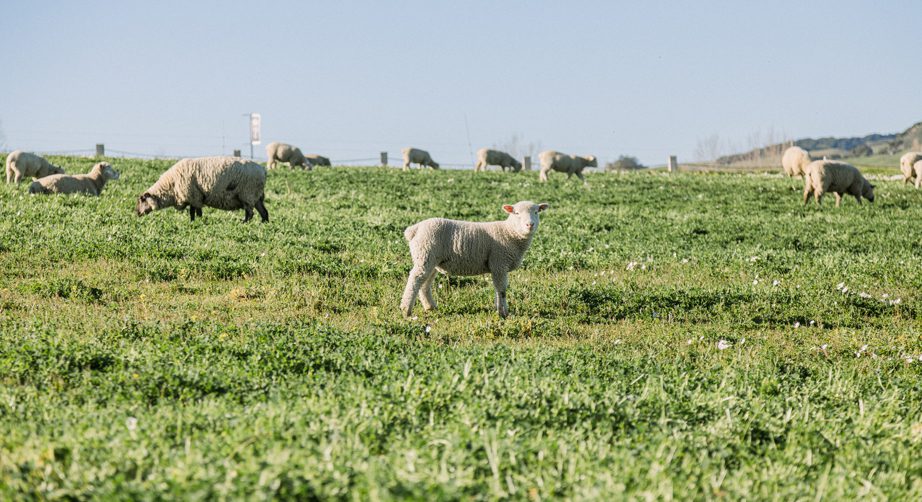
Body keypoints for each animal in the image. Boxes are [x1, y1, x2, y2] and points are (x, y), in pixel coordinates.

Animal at [136, 156, 268, 223]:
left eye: (142, 200)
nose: (137, 213)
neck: (171, 186)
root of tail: (263, 170)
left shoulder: (194, 195)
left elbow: (194, 212)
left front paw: (195, 223)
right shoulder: (195, 197)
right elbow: (195, 211)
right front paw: (195, 222)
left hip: (247, 194)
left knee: (250, 213)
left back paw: (243, 223)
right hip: (256, 196)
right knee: (264, 212)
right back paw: (264, 224)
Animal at [400, 201, 549, 318]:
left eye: (536, 212)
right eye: (516, 213)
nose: (530, 225)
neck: (510, 232)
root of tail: (414, 229)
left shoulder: (497, 266)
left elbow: (498, 289)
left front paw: (499, 309)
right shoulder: (499, 263)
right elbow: (502, 290)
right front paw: (503, 313)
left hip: (432, 259)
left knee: (424, 283)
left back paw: (430, 307)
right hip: (425, 254)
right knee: (415, 279)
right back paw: (406, 310)